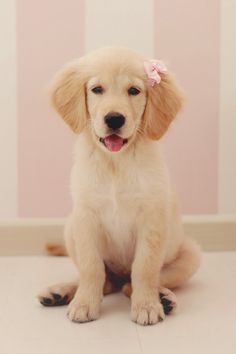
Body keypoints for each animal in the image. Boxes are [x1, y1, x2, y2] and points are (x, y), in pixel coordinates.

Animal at [38, 47, 201, 326]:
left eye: (134, 91)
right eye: (97, 89)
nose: (114, 119)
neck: (116, 163)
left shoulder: (151, 219)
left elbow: (144, 268)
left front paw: (146, 305)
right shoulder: (85, 217)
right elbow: (92, 268)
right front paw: (84, 303)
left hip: (191, 253)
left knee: (130, 284)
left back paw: (163, 298)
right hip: (70, 228)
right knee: (105, 282)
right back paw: (61, 292)